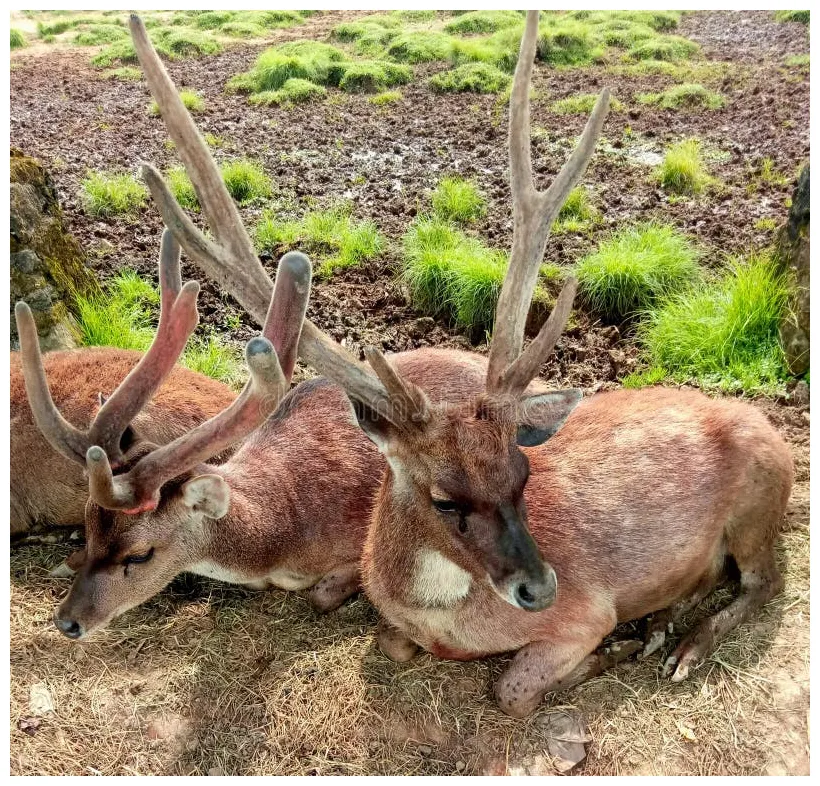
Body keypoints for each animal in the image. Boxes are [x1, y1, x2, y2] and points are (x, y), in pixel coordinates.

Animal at [130, 10, 794, 718]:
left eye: (523, 474)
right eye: (445, 500)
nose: (542, 587)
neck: (448, 622)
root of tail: (775, 435)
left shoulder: (589, 609)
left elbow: (510, 688)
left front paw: (615, 648)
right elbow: (394, 644)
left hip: (759, 501)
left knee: (765, 582)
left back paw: (683, 645)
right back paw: (667, 624)